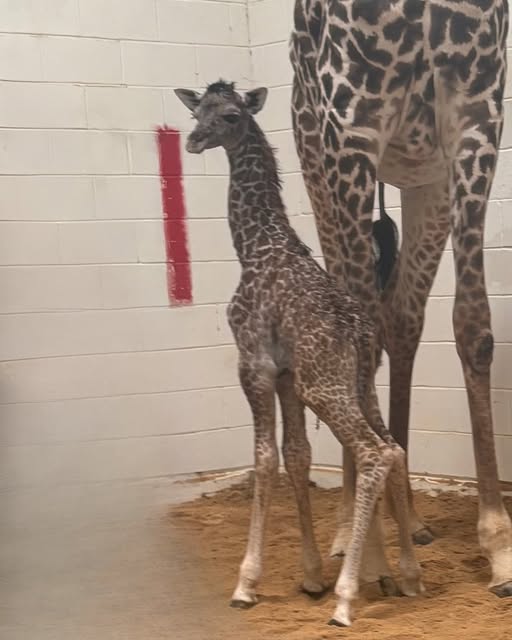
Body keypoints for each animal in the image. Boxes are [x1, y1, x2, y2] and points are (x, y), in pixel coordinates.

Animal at [175, 79, 424, 627]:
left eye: (230, 115)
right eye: (197, 111)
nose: (193, 141)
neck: (253, 246)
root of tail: (360, 331)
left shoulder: (255, 364)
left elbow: (265, 458)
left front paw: (247, 582)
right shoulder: (287, 374)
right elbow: (297, 455)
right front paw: (310, 576)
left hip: (324, 386)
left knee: (373, 451)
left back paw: (347, 599)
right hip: (356, 384)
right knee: (393, 447)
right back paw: (408, 575)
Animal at [290, 0, 512, 598]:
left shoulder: (478, 115)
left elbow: (474, 325)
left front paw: (499, 545)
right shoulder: (352, 126)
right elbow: (356, 340)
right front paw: (371, 557)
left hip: (425, 181)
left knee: (403, 321)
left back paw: (407, 516)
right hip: (316, 160)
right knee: (357, 328)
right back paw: (348, 526)